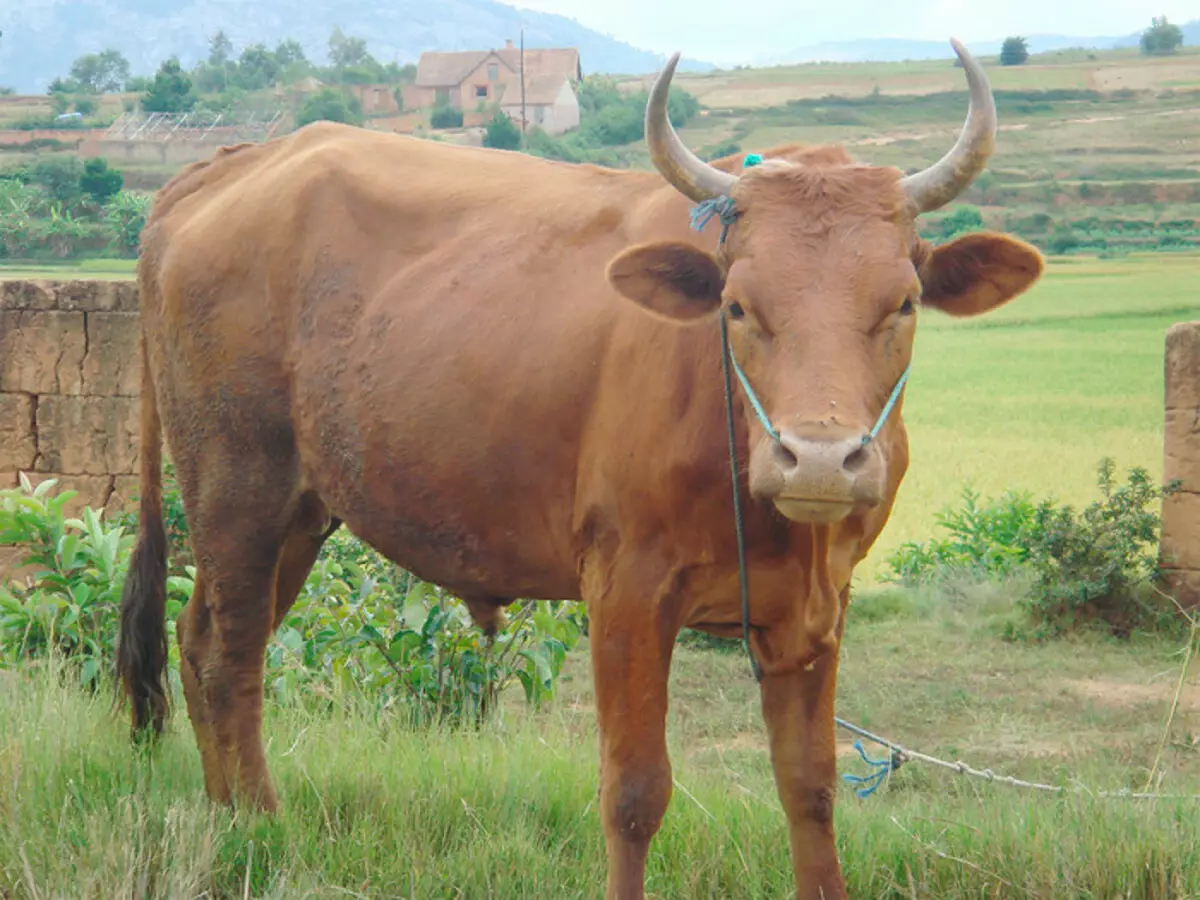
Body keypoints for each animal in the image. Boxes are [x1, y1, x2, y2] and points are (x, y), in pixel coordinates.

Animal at [119, 40, 1041, 900]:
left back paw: (225, 814)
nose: (818, 458)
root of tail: (230, 167)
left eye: (903, 303)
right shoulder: (627, 590)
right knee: (230, 656)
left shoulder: (818, 606)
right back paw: (258, 827)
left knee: (200, 641)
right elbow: (634, 793)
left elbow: (810, 788)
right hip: (236, 489)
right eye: (738, 305)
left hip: (302, 516)